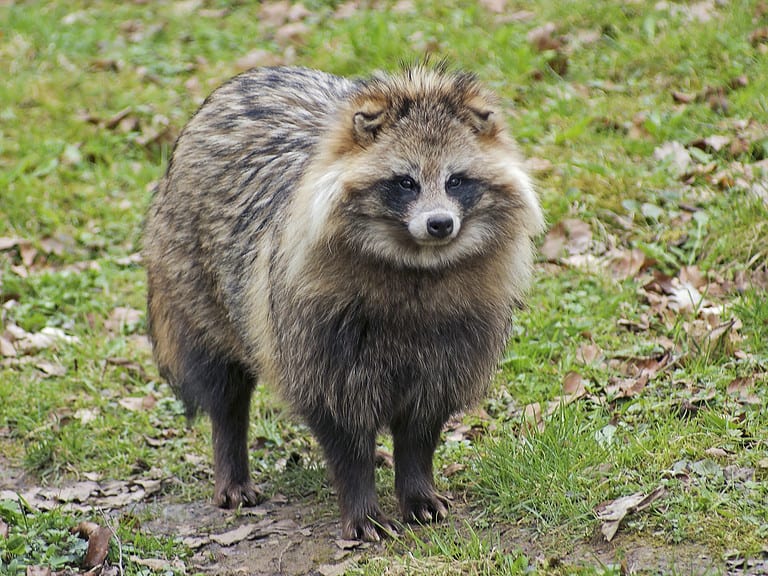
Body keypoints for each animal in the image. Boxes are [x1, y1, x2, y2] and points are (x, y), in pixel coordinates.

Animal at [143, 64, 544, 541]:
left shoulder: (458, 335)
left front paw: (416, 486)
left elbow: (421, 424)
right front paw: (361, 502)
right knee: (223, 387)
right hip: (194, 280)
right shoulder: (315, 329)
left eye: (455, 180)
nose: (440, 224)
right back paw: (231, 458)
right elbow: (340, 423)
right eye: (405, 182)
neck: (417, 264)